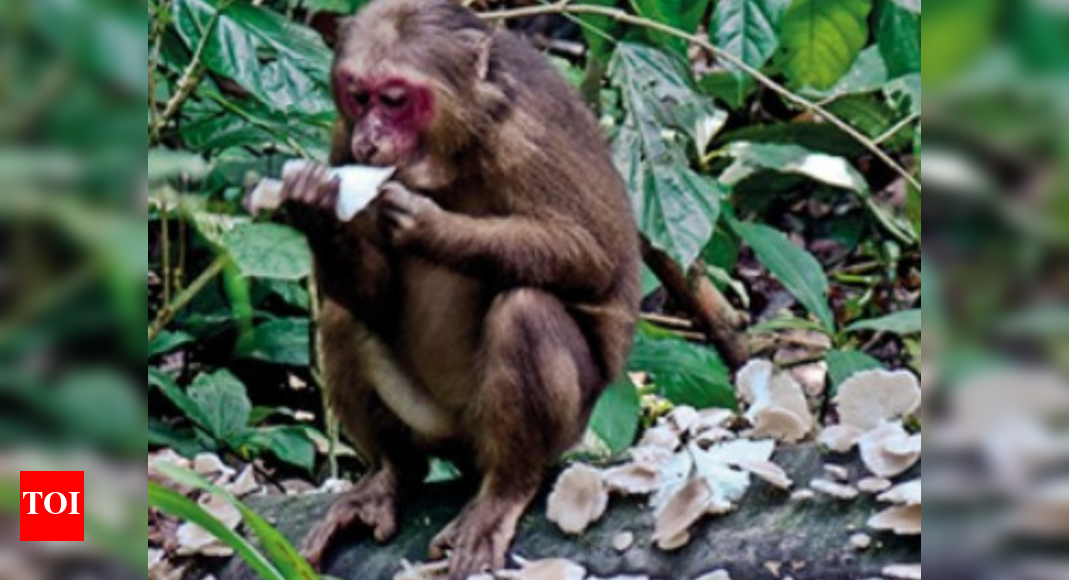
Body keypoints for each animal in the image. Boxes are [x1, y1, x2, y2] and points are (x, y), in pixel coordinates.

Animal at [277, 0, 641, 577]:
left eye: (395, 100)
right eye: (358, 96)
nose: (369, 139)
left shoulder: (528, 132)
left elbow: (593, 259)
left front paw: (432, 228)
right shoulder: (339, 137)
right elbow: (372, 295)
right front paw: (316, 209)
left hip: (556, 429)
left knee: (525, 309)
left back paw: (504, 491)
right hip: (430, 422)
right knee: (342, 315)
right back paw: (391, 474)